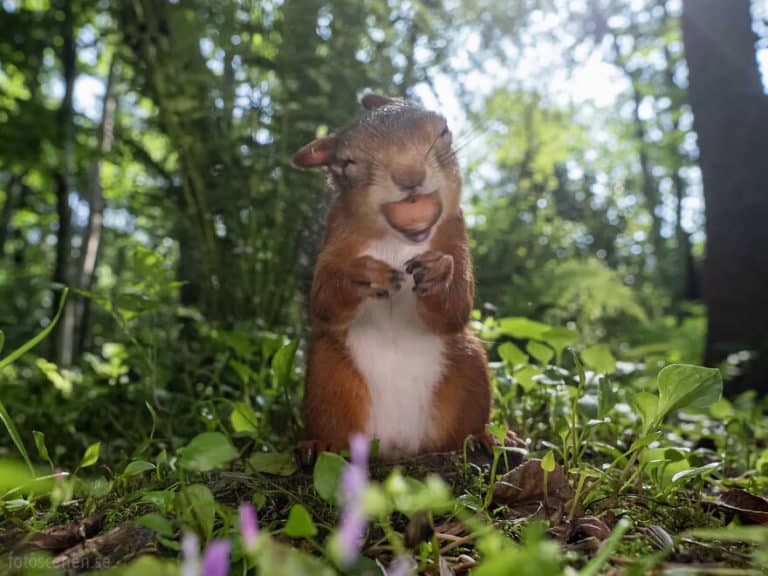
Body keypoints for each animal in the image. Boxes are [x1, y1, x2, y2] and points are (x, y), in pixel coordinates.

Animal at [292, 94, 492, 459]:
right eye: (347, 163)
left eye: (443, 130)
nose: (409, 176)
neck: (399, 241)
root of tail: (399, 447)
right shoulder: (336, 234)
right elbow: (323, 297)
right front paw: (361, 274)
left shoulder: (456, 233)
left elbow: (458, 306)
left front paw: (439, 274)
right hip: (328, 378)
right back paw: (318, 444)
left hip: (468, 365)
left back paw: (483, 437)